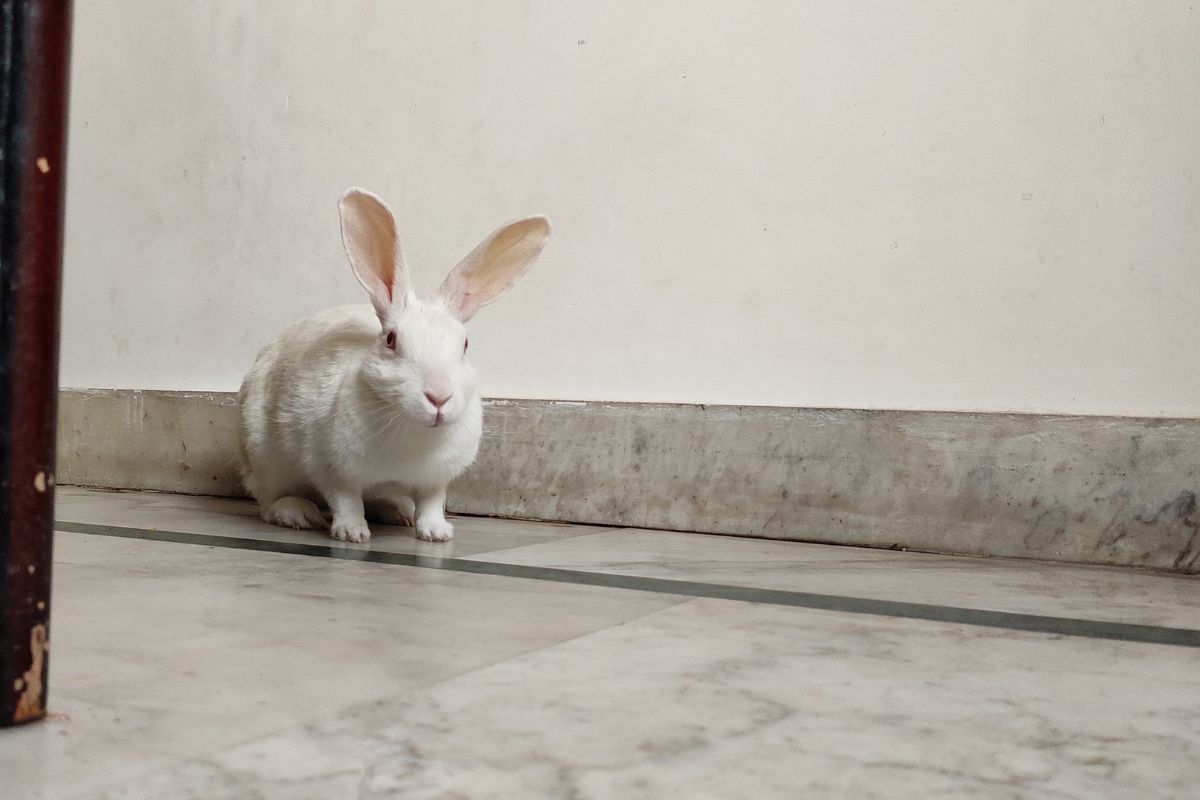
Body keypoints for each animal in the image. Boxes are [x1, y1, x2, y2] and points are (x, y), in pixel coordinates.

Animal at [238, 187, 551, 543]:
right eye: (391, 340)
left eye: (465, 345)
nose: (439, 398)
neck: (412, 431)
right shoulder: (333, 469)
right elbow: (346, 501)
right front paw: (353, 533)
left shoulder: (435, 480)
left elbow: (431, 503)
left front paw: (437, 533)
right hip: (265, 459)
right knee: (269, 501)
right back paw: (300, 513)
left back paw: (395, 511)